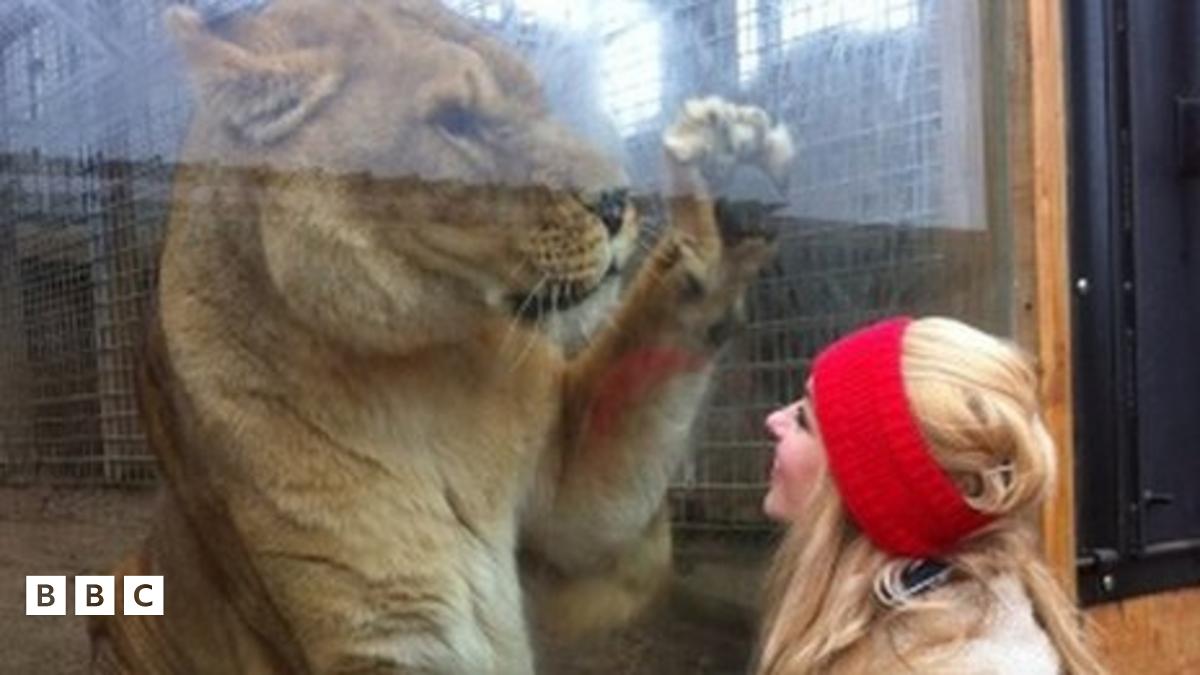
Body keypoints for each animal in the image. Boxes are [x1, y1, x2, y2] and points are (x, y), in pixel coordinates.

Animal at [88, 1, 794, 673]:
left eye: (537, 100)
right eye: (457, 121)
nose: (618, 201)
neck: (431, 367)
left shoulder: (576, 506)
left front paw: (717, 186)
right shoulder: (384, 627)